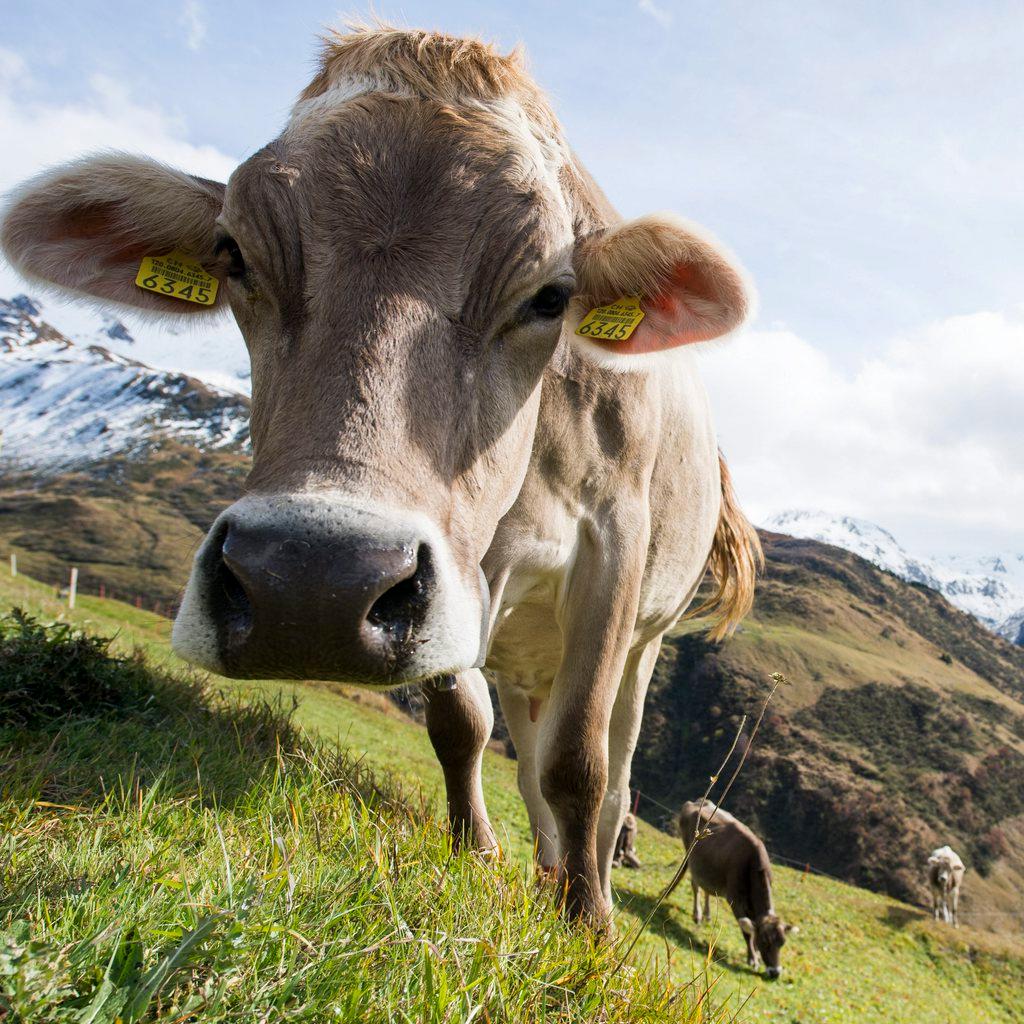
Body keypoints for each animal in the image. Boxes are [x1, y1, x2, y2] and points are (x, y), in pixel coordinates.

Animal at [0, 25, 762, 924]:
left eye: (551, 295)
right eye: (234, 257)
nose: (309, 585)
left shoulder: (615, 544)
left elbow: (581, 762)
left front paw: (589, 924)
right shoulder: (463, 577)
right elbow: (463, 723)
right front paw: (479, 850)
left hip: (646, 636)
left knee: (608, 766)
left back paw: (586, 882)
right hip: (520, 652)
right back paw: (544, 868)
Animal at [678, 800, 796, 978]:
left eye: (782, 942)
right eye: (765, 942)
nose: (775, 972)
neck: (752, 864)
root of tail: (697, 802)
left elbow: (752, 928)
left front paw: (755, 955)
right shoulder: (736, 900)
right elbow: (747, 932)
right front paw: (753, 959)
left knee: (706, 889)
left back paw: (707, 915)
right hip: (691, 857)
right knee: (696, 886)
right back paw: (697, 915)